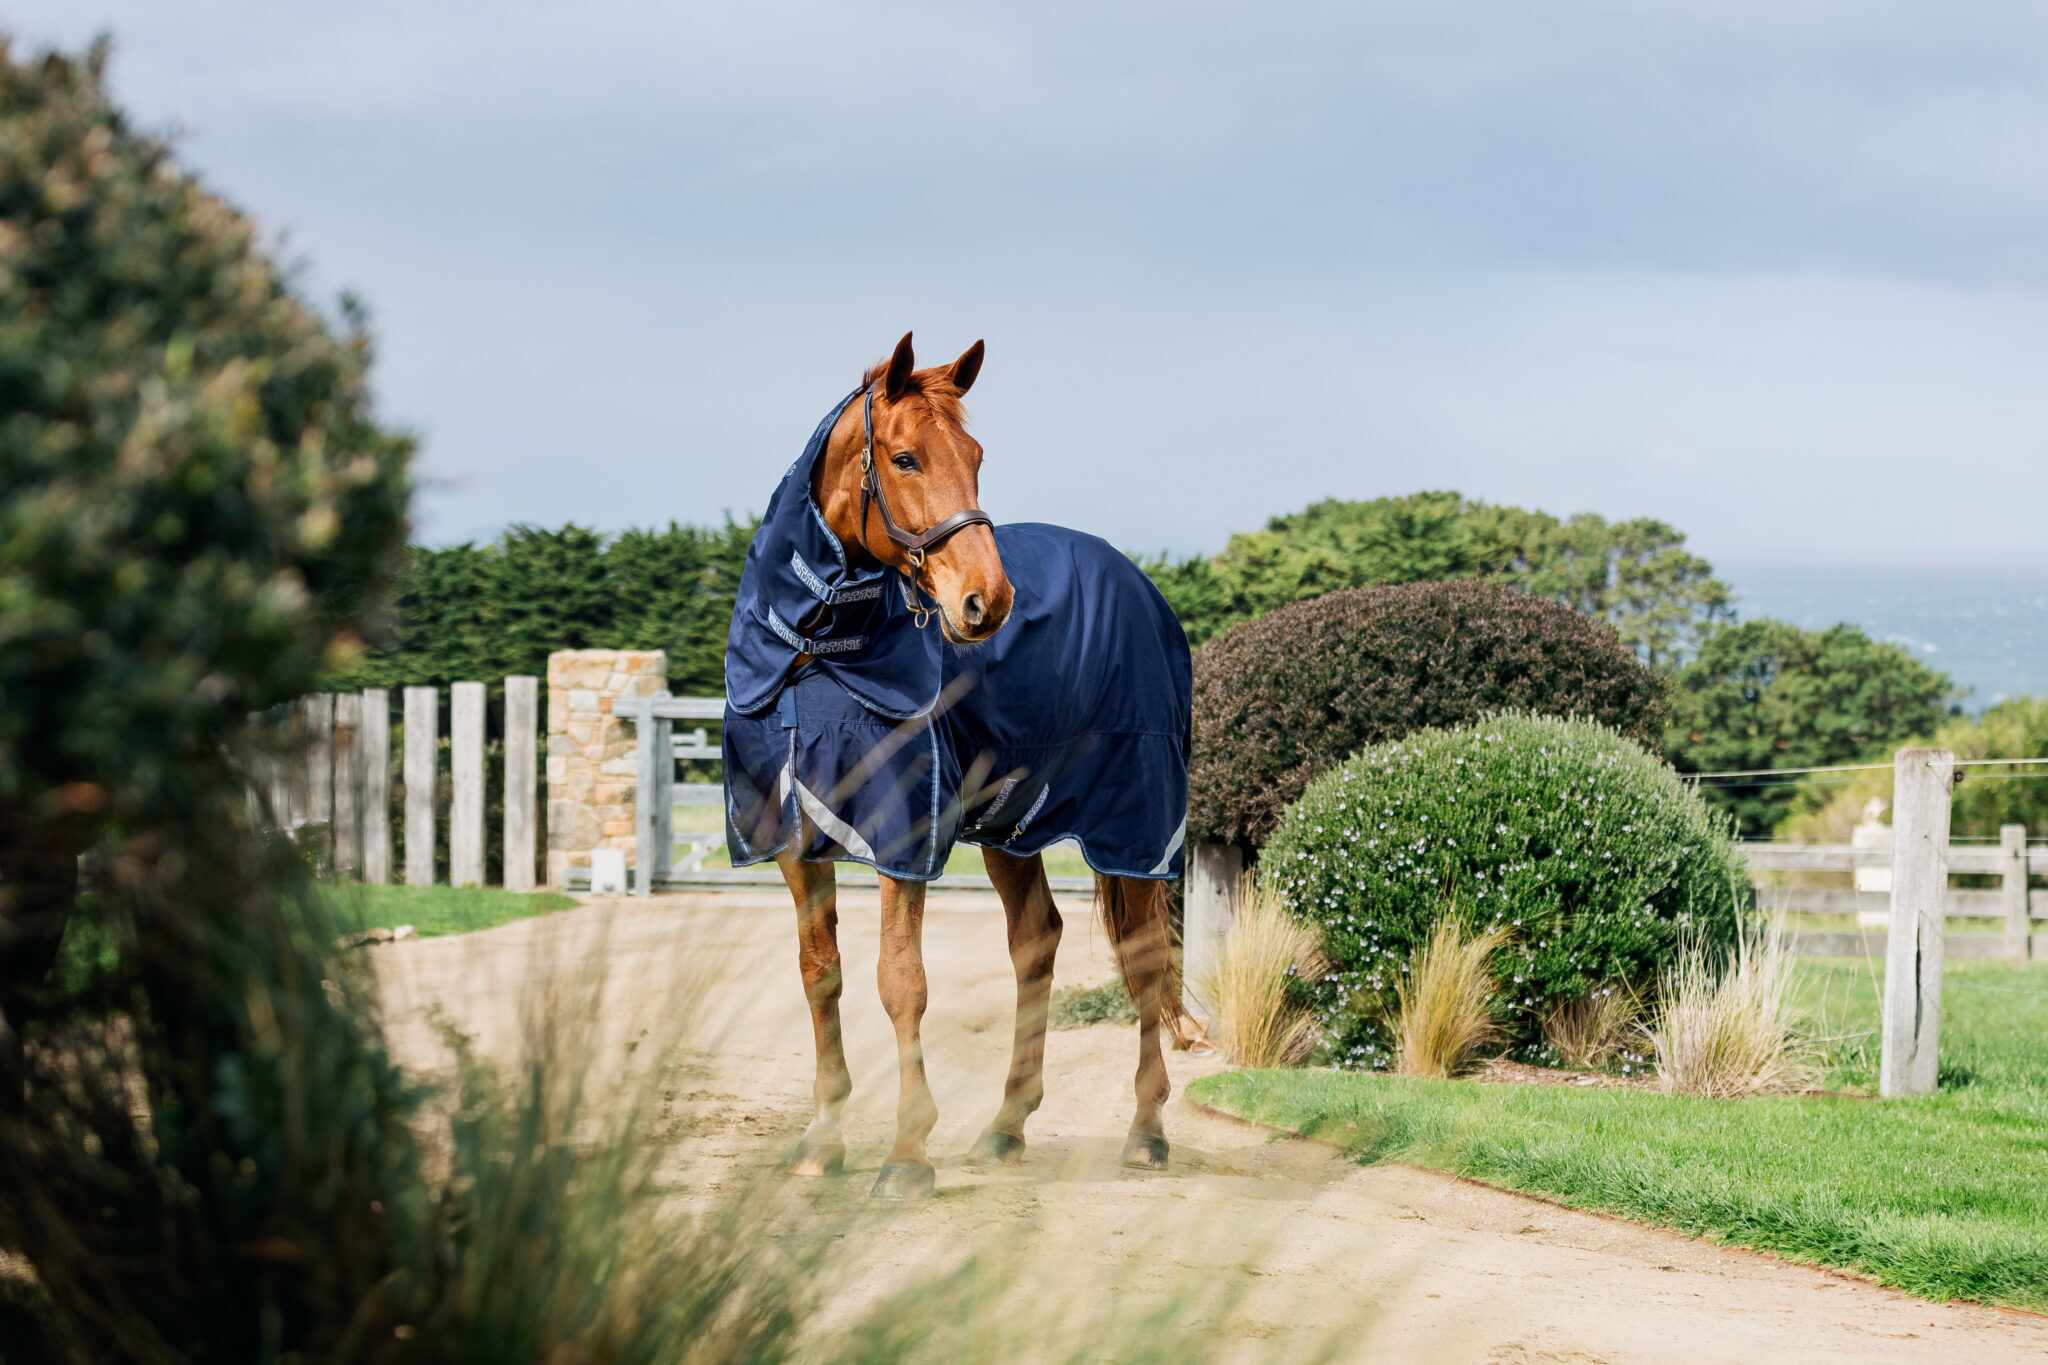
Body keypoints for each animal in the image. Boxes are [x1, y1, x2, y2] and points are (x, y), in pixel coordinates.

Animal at [721, 333, 1194, 1199]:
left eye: (975, 457)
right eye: (906, 457)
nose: (988, 600)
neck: (816, 653)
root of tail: (1139, 584)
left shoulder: (901, 827)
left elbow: (899, 978)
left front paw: (908, 1152)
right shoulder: (795, 836)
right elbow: (821, 972)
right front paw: (824, 1136)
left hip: (1137, 820)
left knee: (1145, 958)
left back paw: (1145, 1132)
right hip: (1013, 820)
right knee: (1036, 940)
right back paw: (1006, 1125)